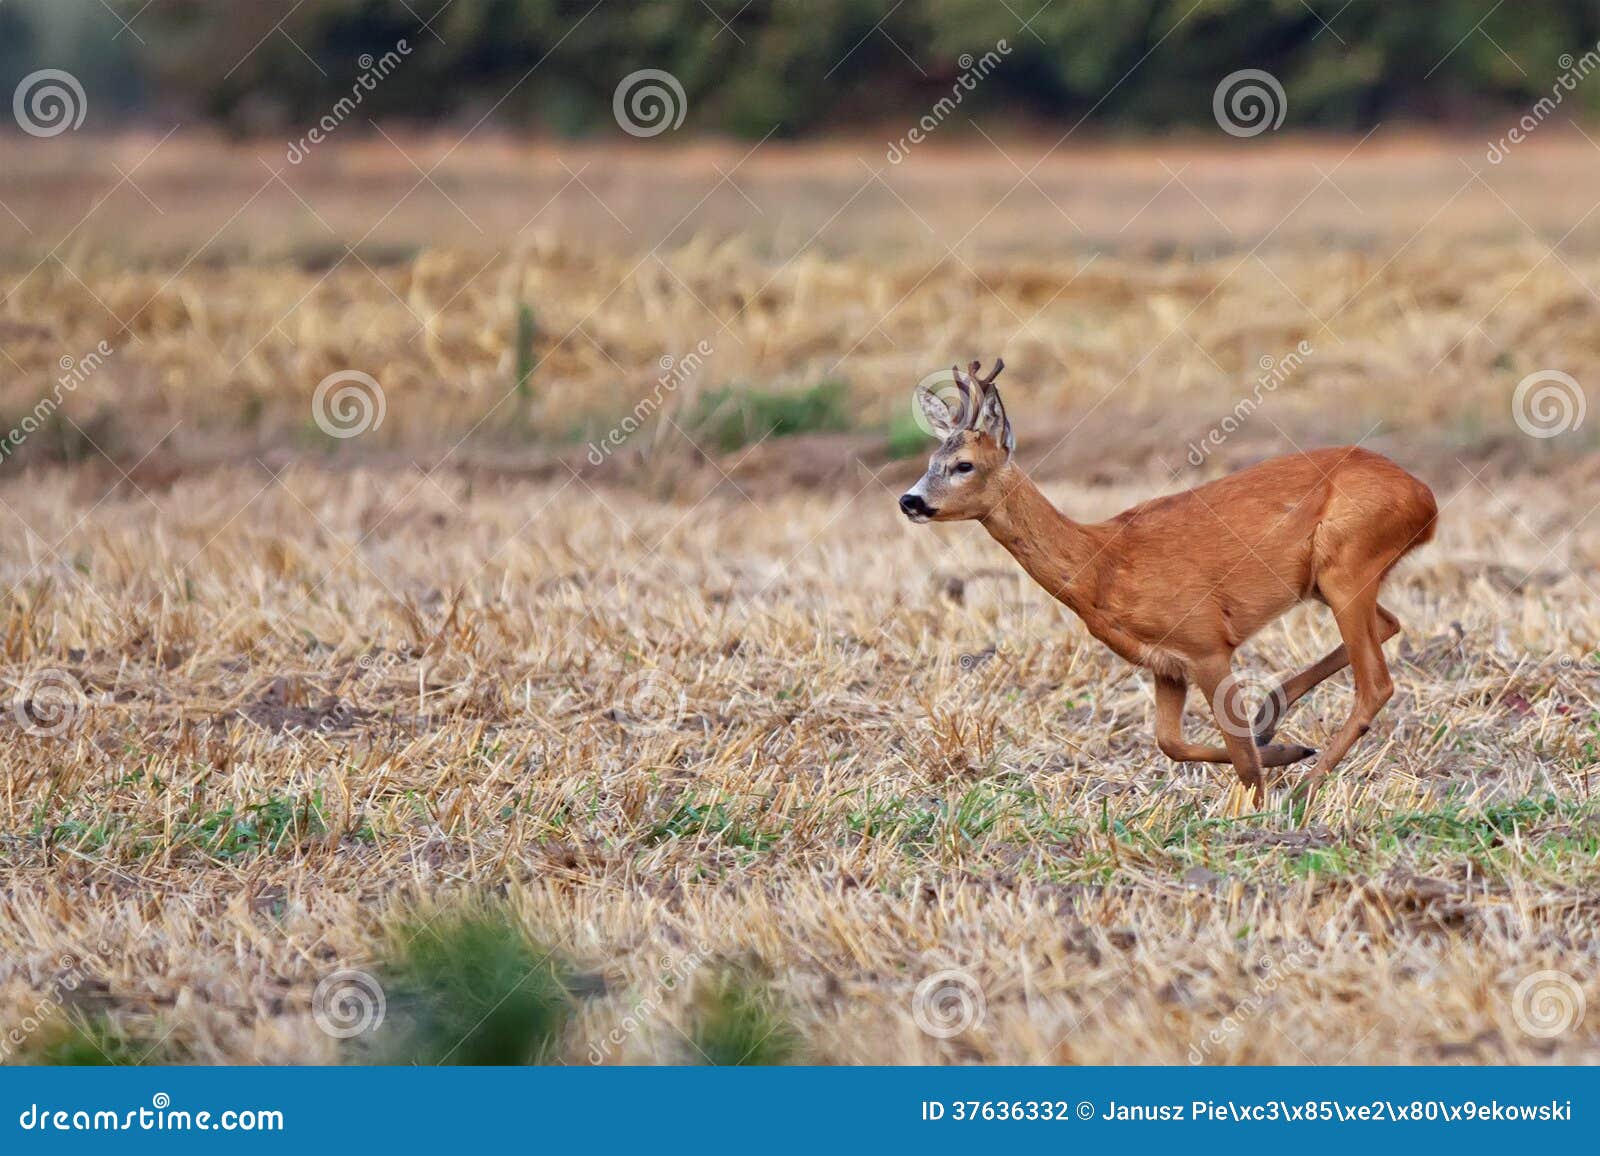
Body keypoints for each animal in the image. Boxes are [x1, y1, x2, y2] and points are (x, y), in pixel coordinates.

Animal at [899, 358, 1437, 808]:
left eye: (964, 464)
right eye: (929, 463)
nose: (910, 501)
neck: (1102, 566)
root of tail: (1425, 498)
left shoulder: (1206, 642)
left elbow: (1241, 762)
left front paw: (1256, 808)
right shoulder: (1167, 664)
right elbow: (1170, 743)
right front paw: (1282, 750)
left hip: (1346, 561)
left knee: (1376, 681)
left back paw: (1306, 785)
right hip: (1331, 579)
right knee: (1389, 624)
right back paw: (1273, 719)